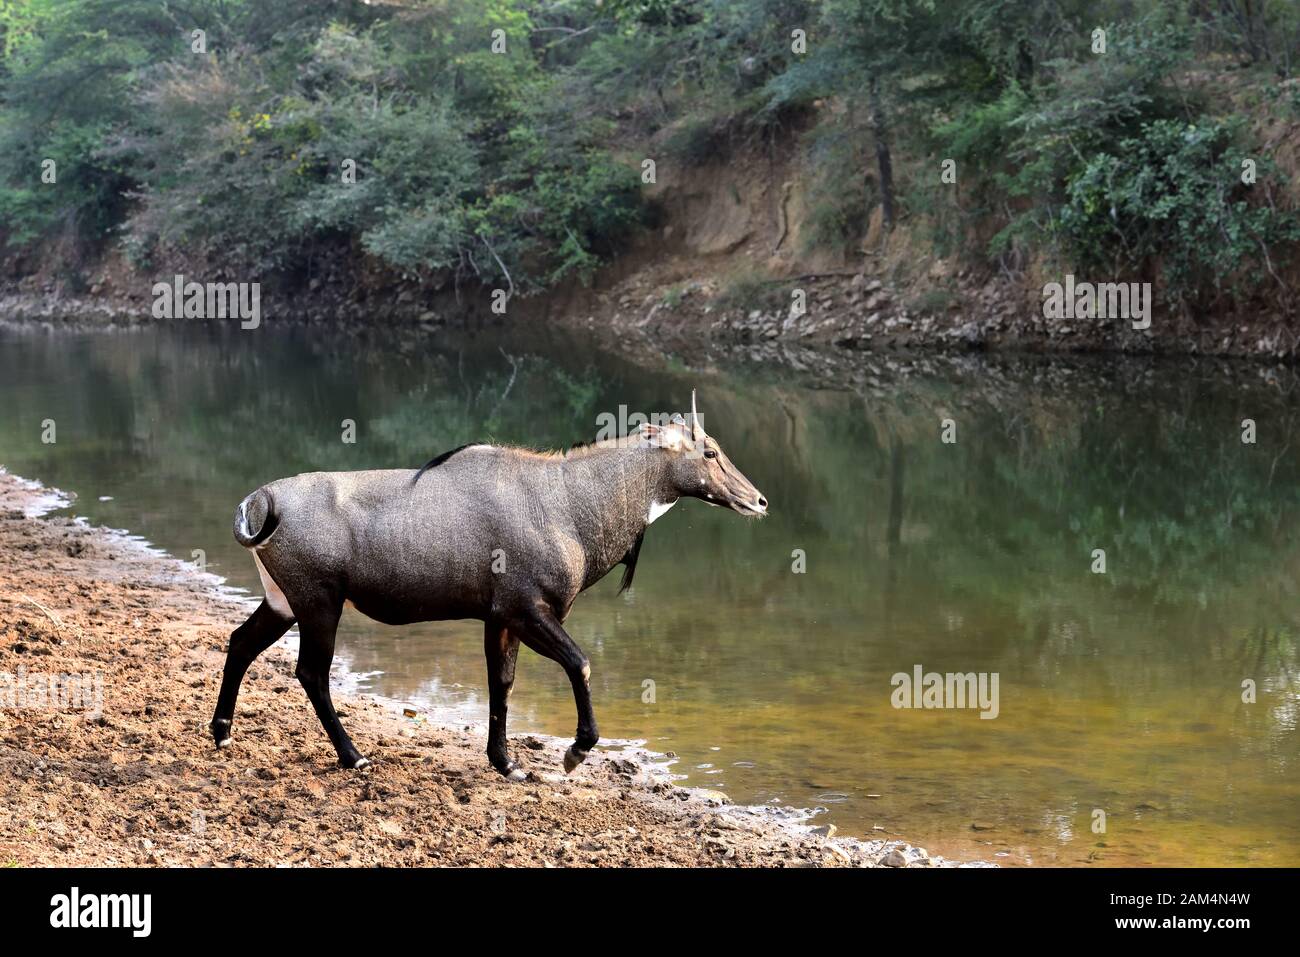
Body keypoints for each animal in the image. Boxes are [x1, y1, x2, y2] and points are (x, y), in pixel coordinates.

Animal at [209, 394, 767, 779]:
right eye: (711, 451)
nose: (759, 501)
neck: (570, 502)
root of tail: (259, 501)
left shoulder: (499, 619)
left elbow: (502, 683)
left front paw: (506, 763)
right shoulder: (529, 610)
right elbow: (580, 663)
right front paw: (573, 752)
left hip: (282, 602)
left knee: (241, 643)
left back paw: (222, 733)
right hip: (319, 603)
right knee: (311, 672)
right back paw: (354, 757)